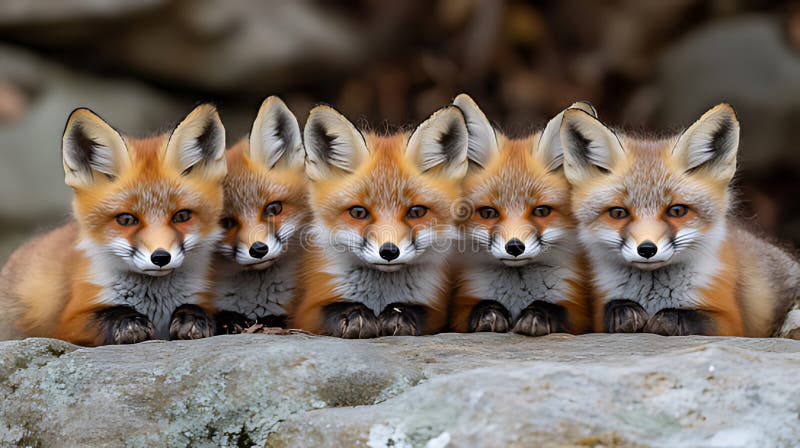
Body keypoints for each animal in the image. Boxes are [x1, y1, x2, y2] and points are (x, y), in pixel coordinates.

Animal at [0, 104, 227, 346]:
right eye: (126, 219)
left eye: (182, 216)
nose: (160, 258)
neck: (156, 302)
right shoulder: (66, 324)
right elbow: (108, 314)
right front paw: (127, 321)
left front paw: (195, 317)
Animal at [290, 104, 469, 338]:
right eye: (358, 212)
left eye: (416, 212)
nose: (389, 252)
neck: (381, 295)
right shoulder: (306, 310)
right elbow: (329, 310)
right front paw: (355, 314)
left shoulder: (435, 306)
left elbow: (420, 312)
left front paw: (399, 314)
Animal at [449, 94, 594, 336]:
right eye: (488, 212)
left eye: (541, 211)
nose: (515, 247)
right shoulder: (464, 303)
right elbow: (480, 307)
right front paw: (490, 313)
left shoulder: (576, 307)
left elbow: (555, 309)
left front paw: (537, 314)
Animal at [559, 103, 800, 337]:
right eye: (618, 213)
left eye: (676, 211)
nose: (647, 249)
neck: (652, 295)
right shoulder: (595, 311)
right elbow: (606, 313)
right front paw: (622, 312)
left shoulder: (733, 322)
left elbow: (692, 318)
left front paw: (668, 319)